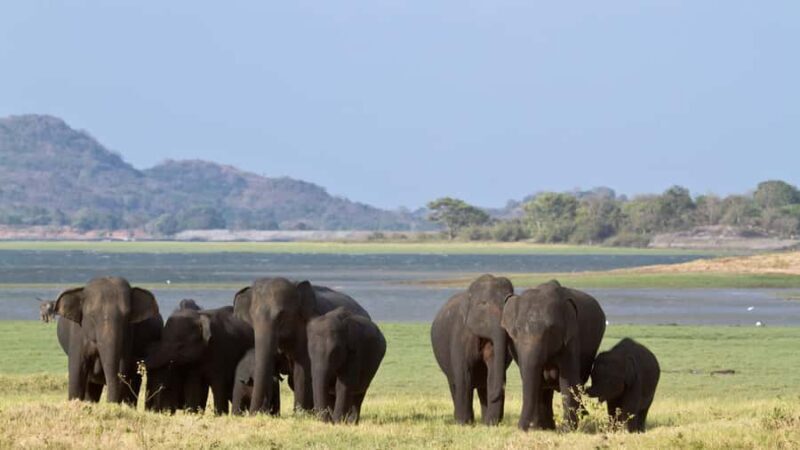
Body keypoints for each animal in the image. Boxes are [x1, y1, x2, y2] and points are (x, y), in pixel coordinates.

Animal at [431, 274, 513, 425]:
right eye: (483, 303)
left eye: (509, 301)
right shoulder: (460, 335)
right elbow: (464, 375)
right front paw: (464, 423)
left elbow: (493, 373)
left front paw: (491, 424)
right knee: (454, 383)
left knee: (483, 385)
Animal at [501, 280, 606, 431]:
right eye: (517, 331)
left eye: (550, 330)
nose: (520, 428)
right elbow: (535, 380)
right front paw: (539, 428)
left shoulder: (571, 339)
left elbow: (568, 381)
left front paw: (567, 430)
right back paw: (548, 426)